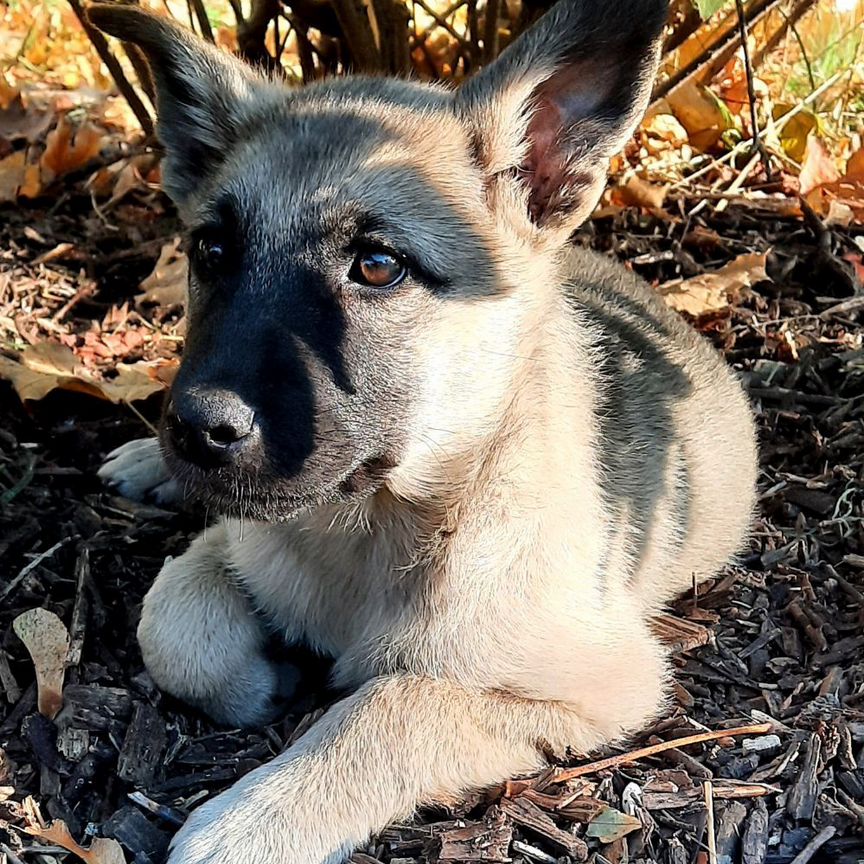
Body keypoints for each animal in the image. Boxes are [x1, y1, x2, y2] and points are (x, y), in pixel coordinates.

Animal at [93, 0, 756, 860]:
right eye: (210, 250)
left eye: (378, 266)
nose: (195, 428)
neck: (381, 526)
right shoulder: (236, 539)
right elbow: (172, 621)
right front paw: (255, 683)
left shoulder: (601, 684)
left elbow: (391, 705)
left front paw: (253, 820)